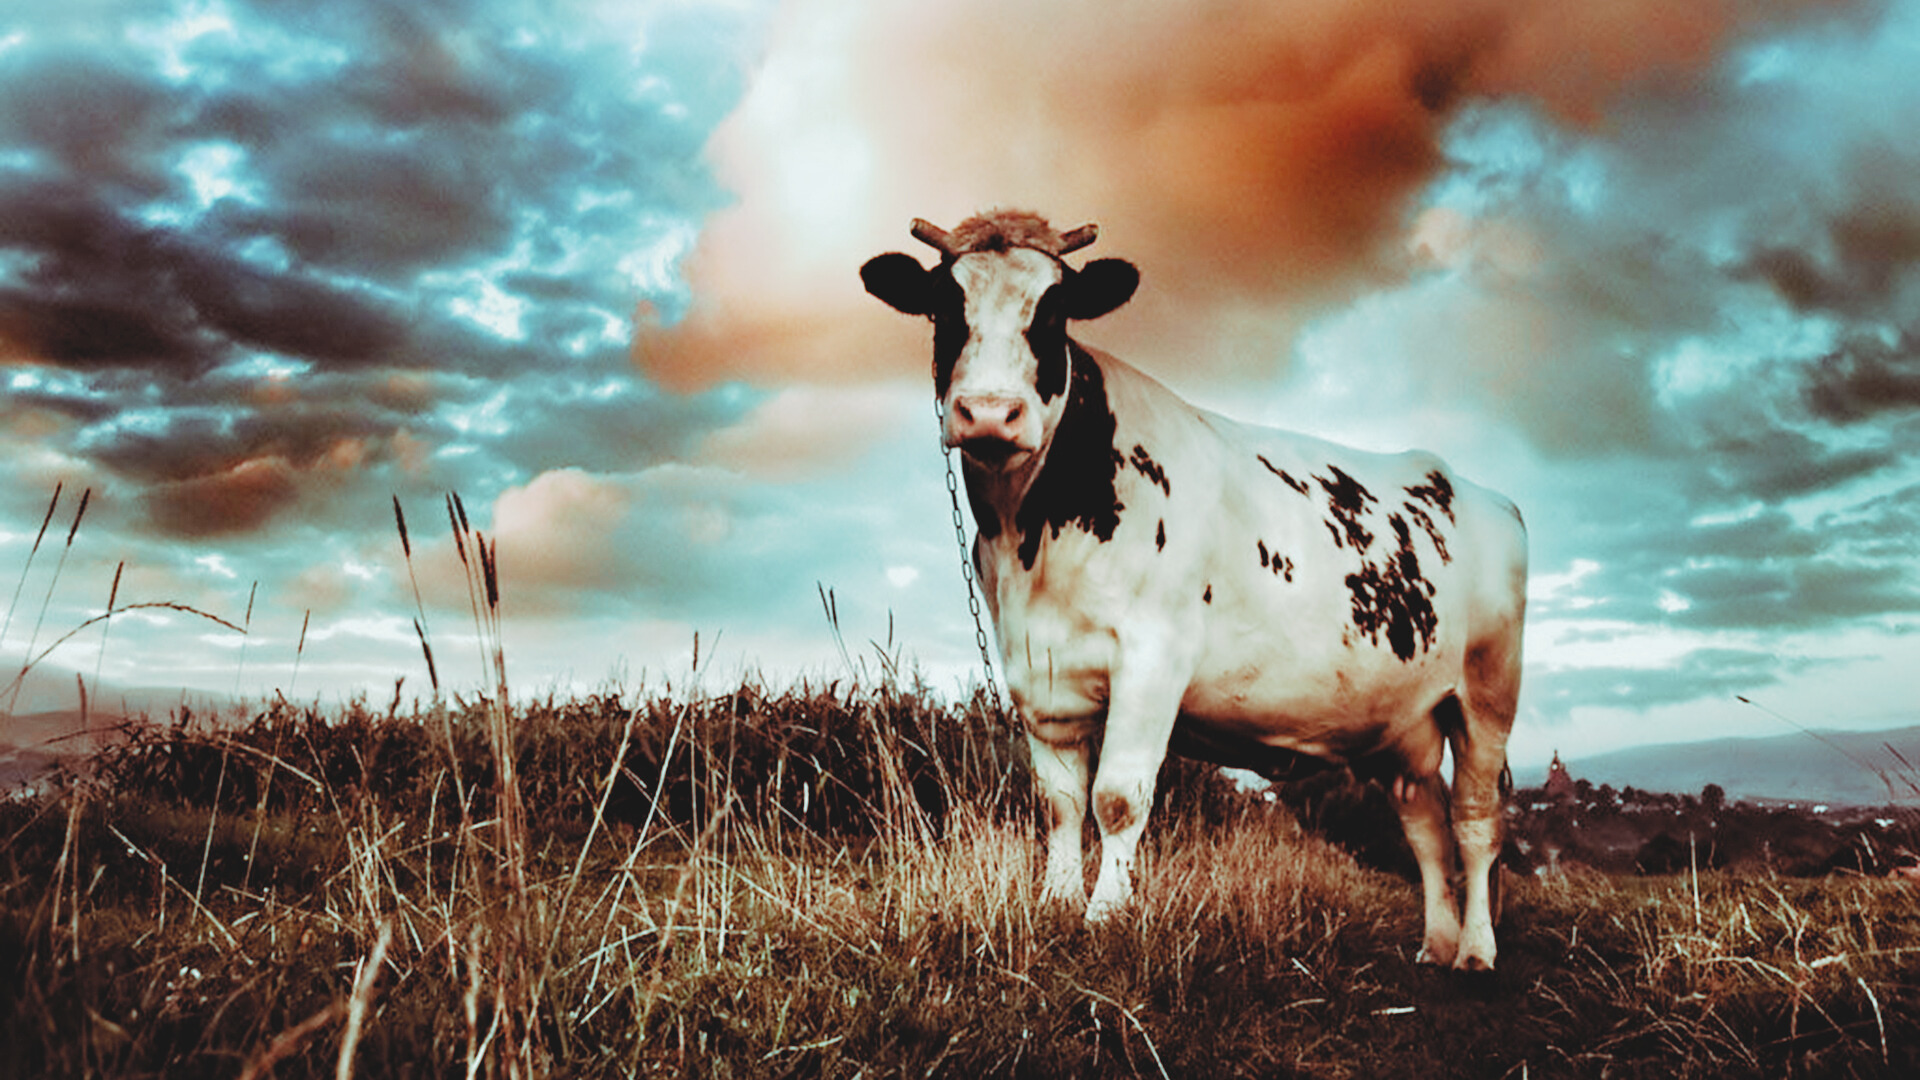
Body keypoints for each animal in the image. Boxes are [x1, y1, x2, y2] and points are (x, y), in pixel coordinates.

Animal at [861, 210, 1528, 970]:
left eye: (1054, 311)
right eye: (944, 306)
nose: (990, 414)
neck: (1032, 535)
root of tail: (1481, 493)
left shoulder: (1155, 653)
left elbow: (1117, 798)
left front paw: (1104, 916)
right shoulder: (1039, 673)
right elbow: (1060, 802)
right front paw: (1056, 903)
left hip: (1486, 692)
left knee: (1475, 822)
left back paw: (1475, 950)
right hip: (1401, 724)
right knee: (1425, 825)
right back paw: (1436, 945)